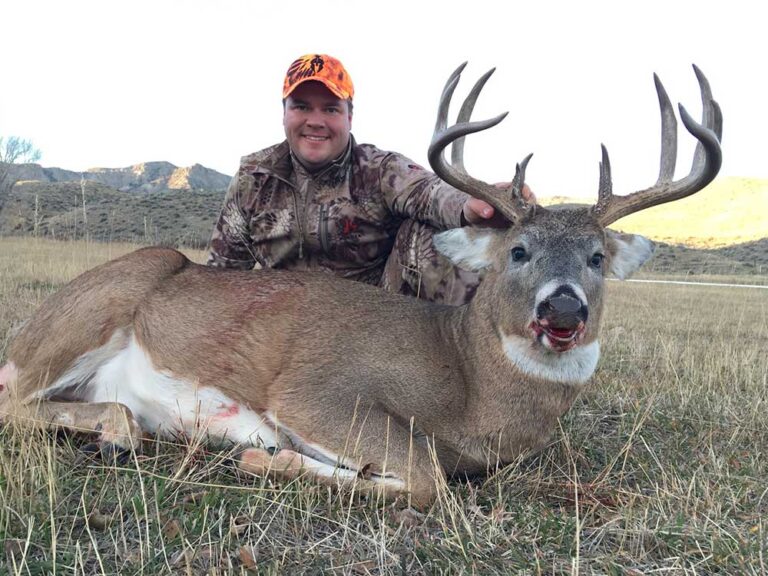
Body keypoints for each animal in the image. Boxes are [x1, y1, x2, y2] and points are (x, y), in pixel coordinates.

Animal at [0, 63, 721, 508]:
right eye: (518, 250)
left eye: (597, 257)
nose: (563, 307)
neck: (468, 385)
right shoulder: (317, 389)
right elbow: (428, 479)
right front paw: (270, 459)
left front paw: (272, 460)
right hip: (106, 296)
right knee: (16, 398)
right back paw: (116, 433)